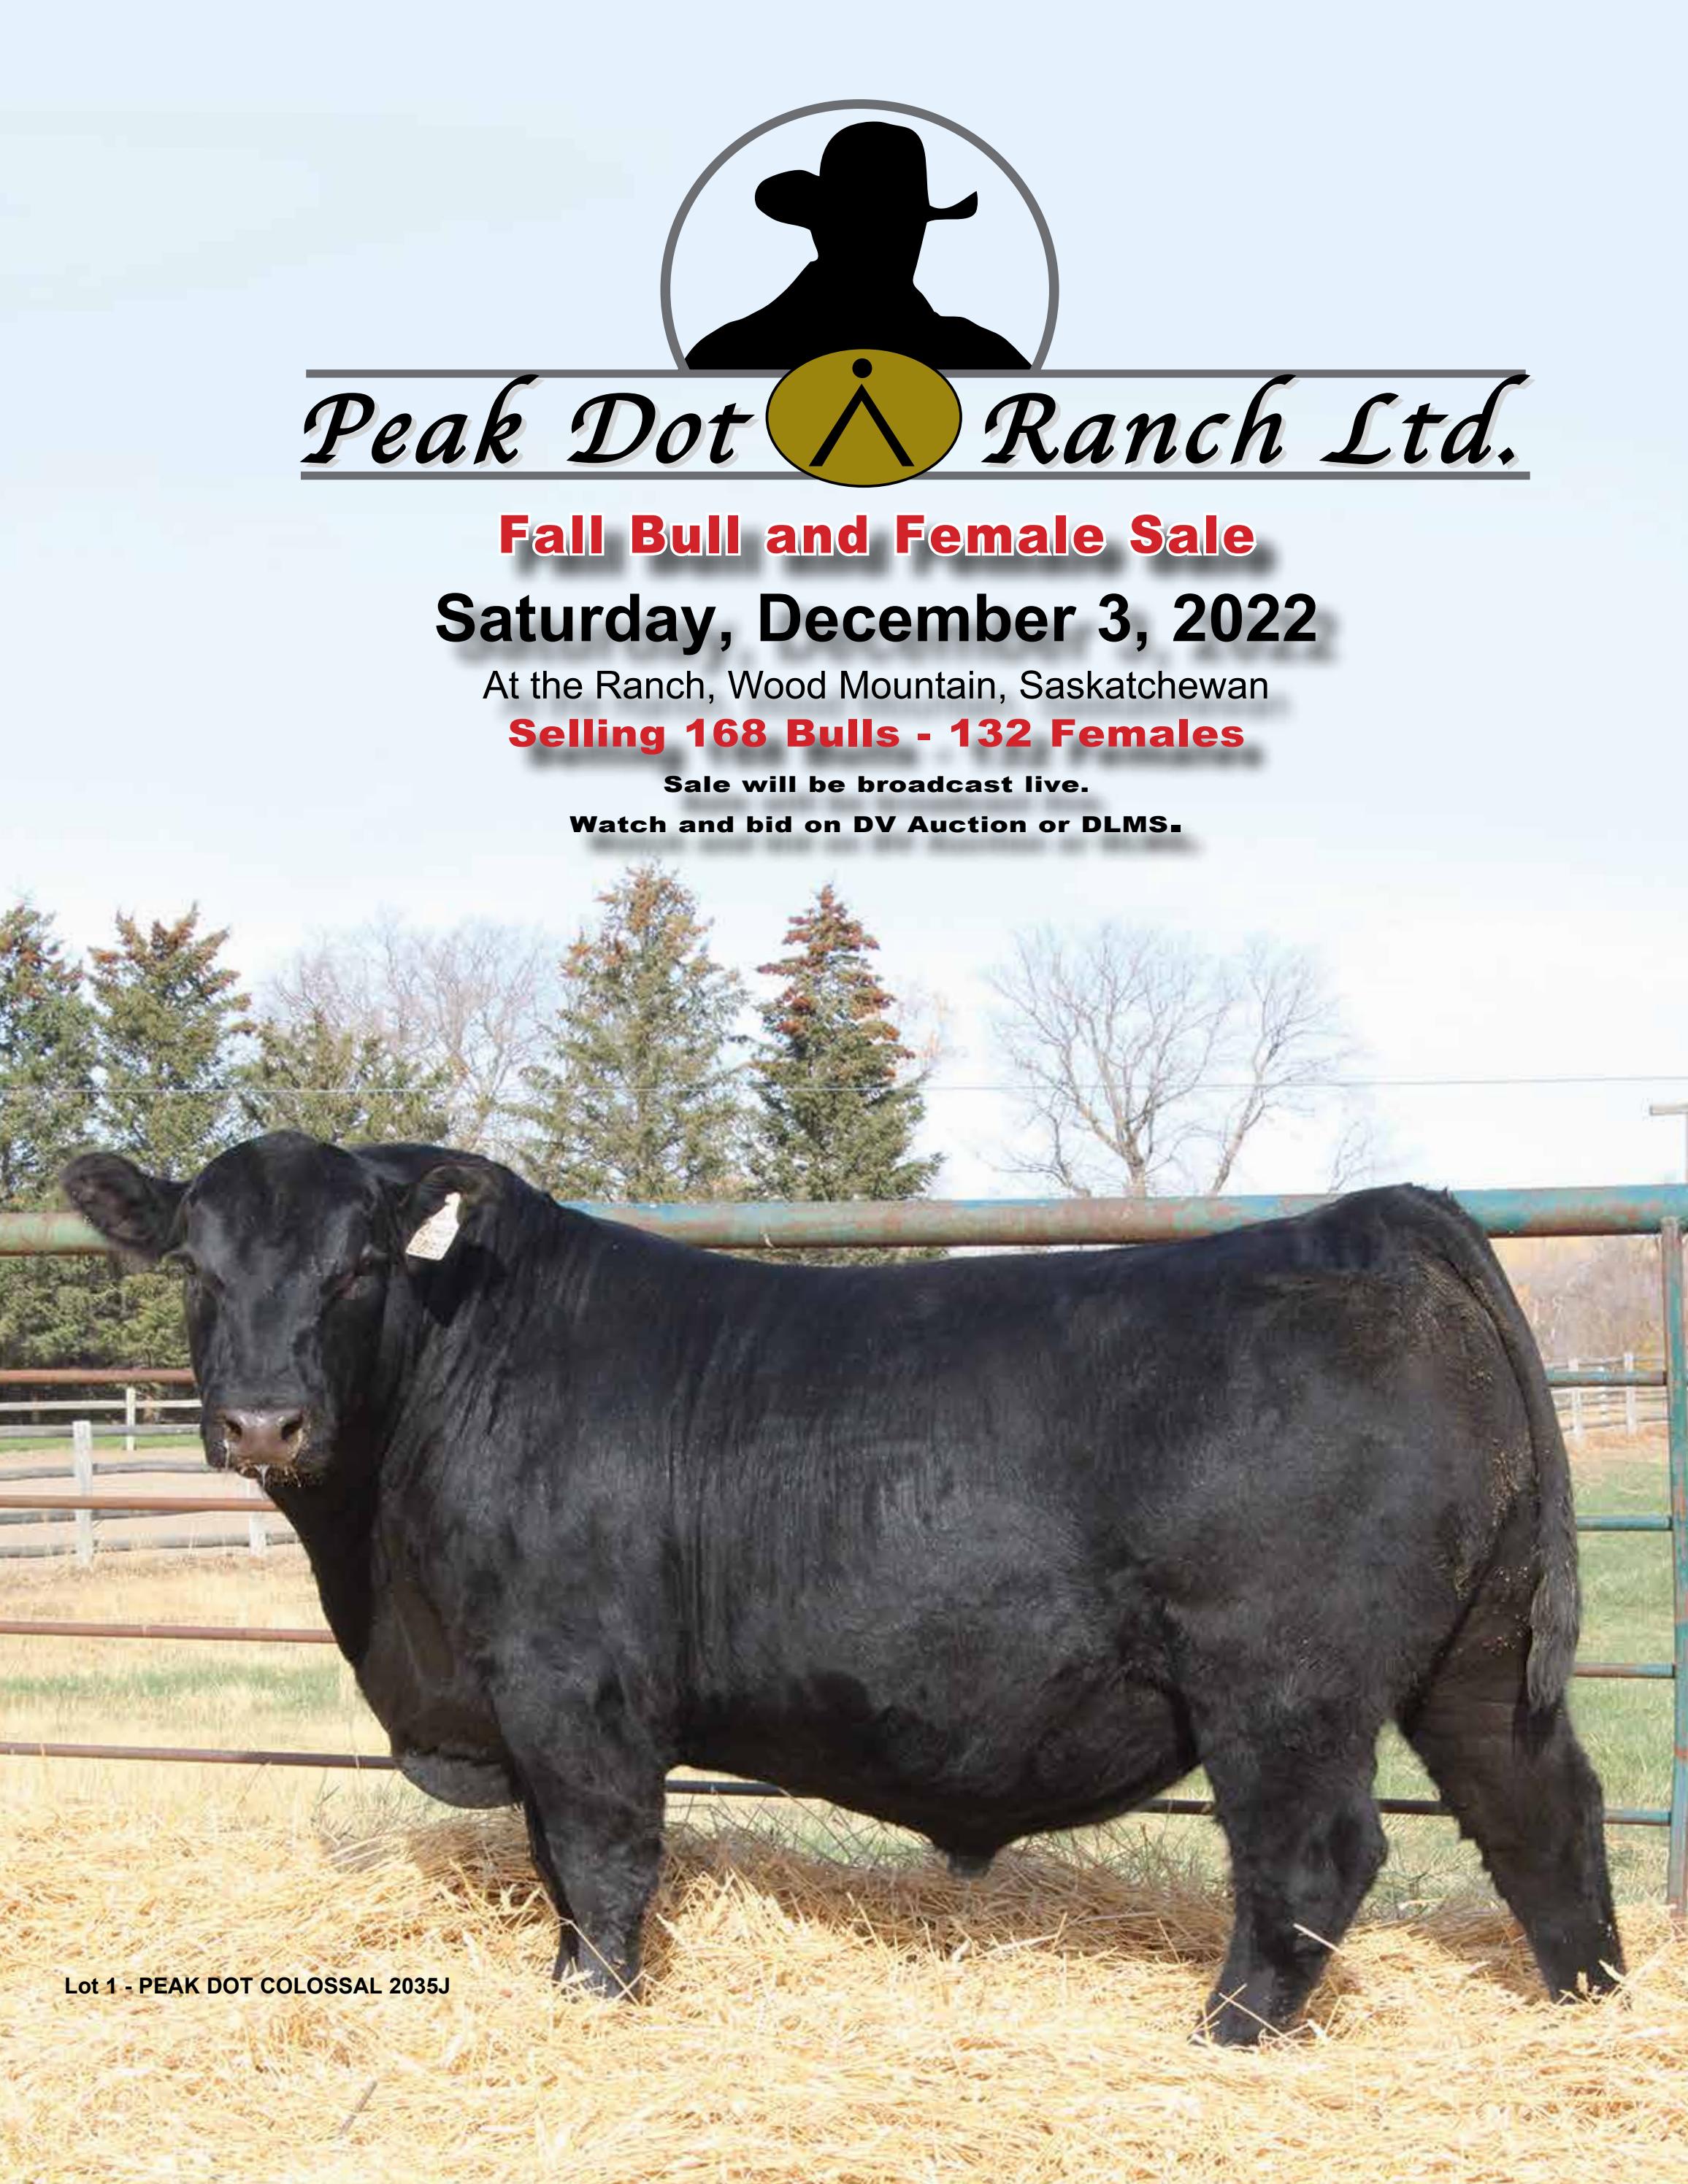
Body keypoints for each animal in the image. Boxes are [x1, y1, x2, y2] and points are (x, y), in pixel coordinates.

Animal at [62, 1132, 1623, 2041]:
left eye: (357, 1266)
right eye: (193, 1266)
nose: (263, 1420)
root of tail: (1373, 1218)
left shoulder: (572, 1684)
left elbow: (602, 1862)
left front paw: (594, 2010)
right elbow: (559, 1867)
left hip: (1283, 1682)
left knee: (1312, 1861)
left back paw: (1223, 2035)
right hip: (1477, 1657)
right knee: (1539, 1809)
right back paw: (1589, 2004)